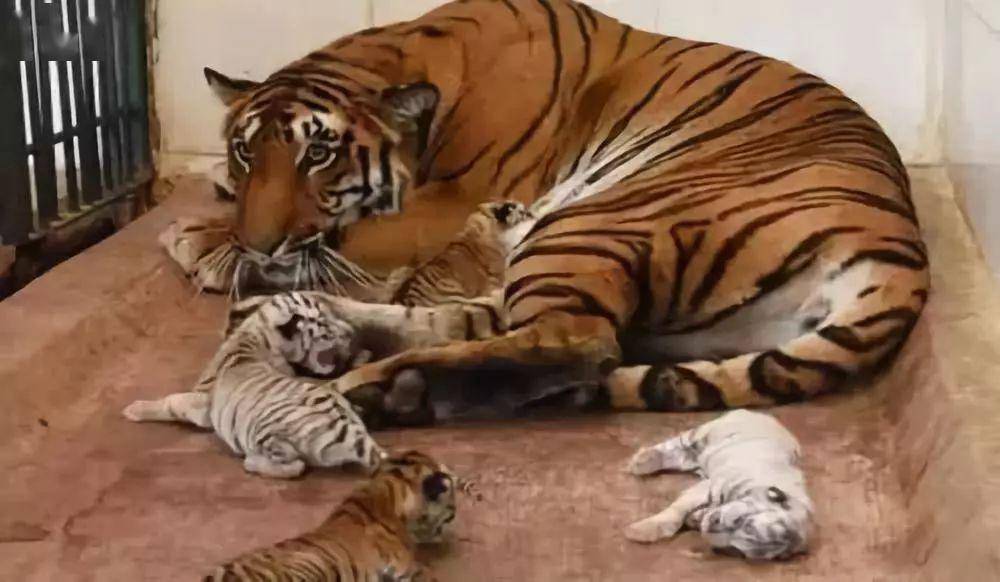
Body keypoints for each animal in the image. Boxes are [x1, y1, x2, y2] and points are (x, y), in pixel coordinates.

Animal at [186, 0, 928, 422]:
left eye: (319, 155)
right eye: (246, 153)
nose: (260, 247)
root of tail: (900, 256)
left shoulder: (458, 196)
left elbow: (353, 238)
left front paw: (210, 248)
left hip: (590, 222)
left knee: (576, 342)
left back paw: (383, 385)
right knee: (475, 323)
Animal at [625, 409, 812, 560]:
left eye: (734, 550)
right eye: (742, 520)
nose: (712, 526)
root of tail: (762, 414)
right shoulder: (709, 486)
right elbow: (676, 511)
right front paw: (641, 531)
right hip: (704, 433)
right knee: (678, 442)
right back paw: (641, 461)